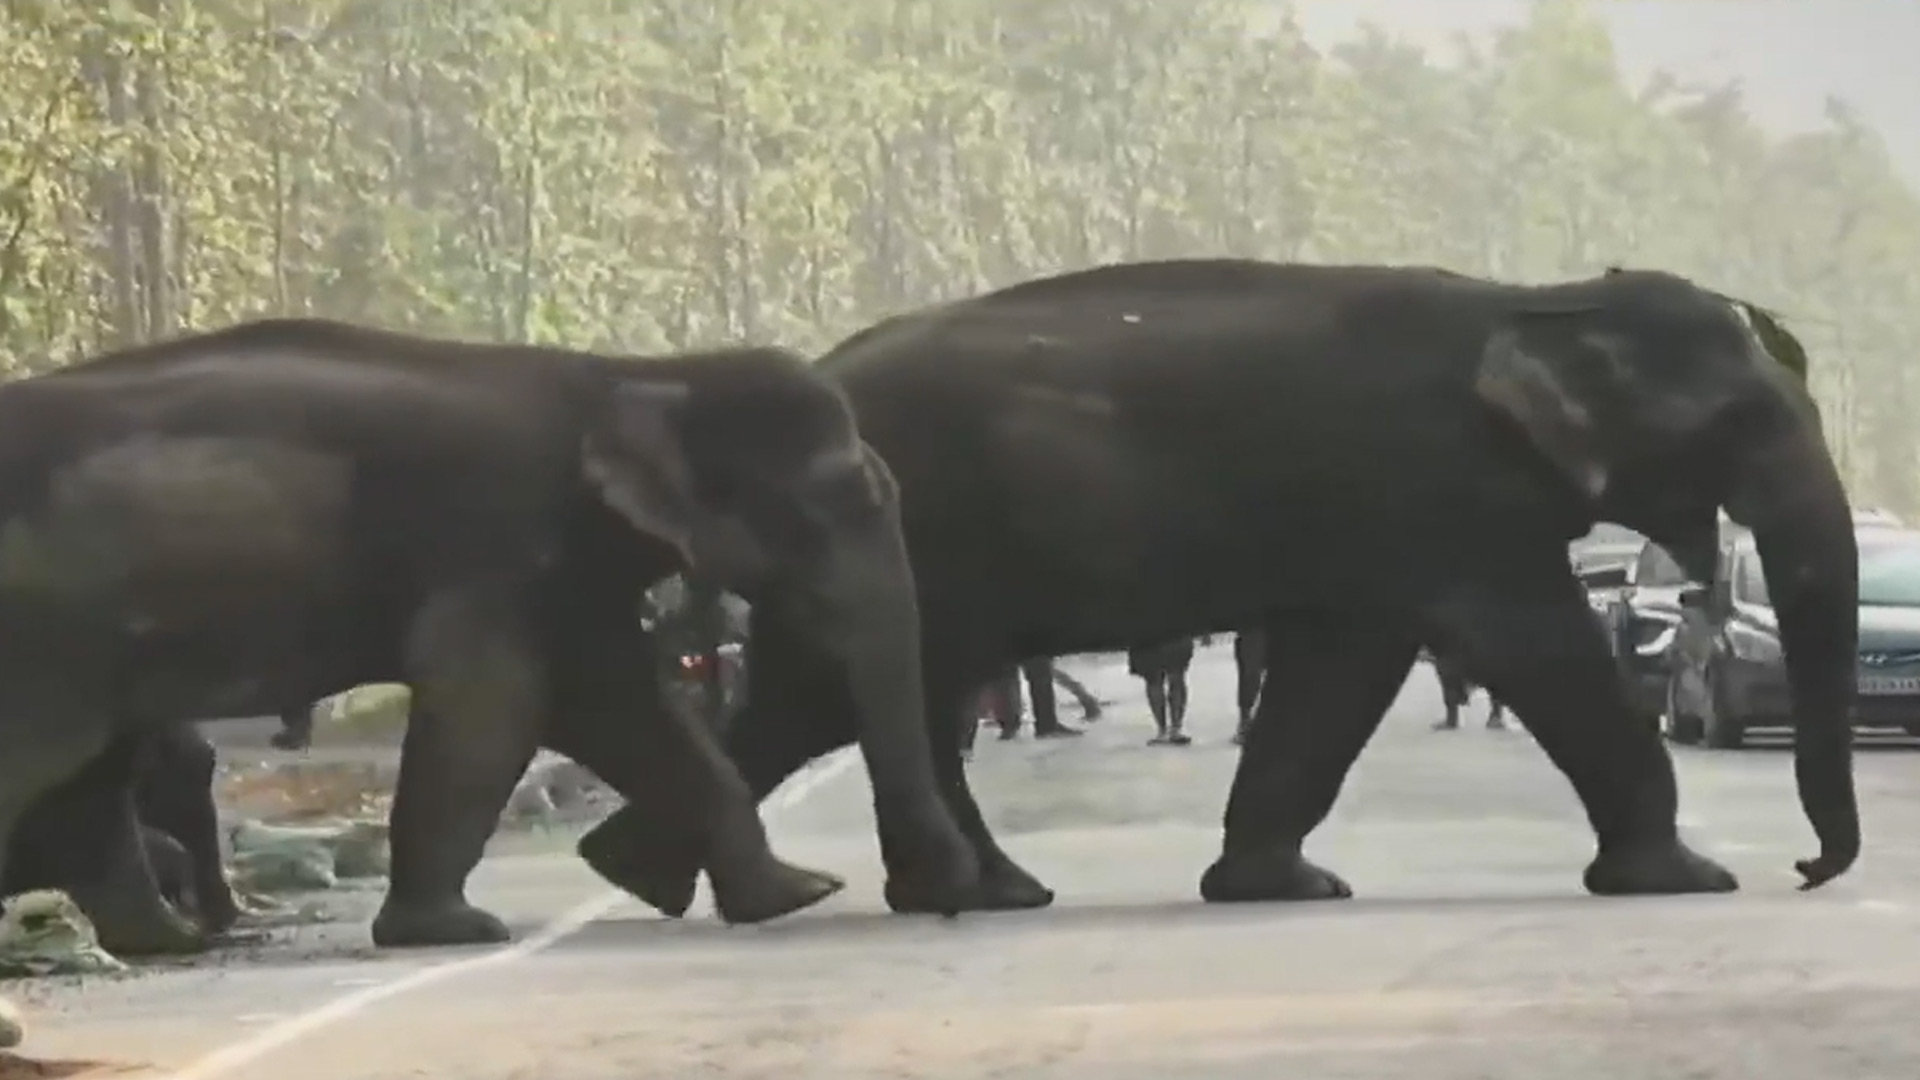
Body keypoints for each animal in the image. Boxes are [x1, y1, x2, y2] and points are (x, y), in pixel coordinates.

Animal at [0, 318, 975, 954]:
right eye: (843, 498)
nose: (939, 894)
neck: (628, 374)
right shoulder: (491, 536)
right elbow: (492, 707)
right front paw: (453, 933)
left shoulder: (570, 576)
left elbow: (623, 711)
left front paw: (791, 898)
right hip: (44, 633)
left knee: (90, 780)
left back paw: (168, 945)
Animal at [584, 258, 1859, 913]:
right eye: (1749, 420)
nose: (1806, 870)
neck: (1533, 293)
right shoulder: (1439, 497)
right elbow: (1526, 649)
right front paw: (1686, 882)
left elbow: (1341, 671)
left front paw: (1280, 887)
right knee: (846, 698)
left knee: (842, 700)